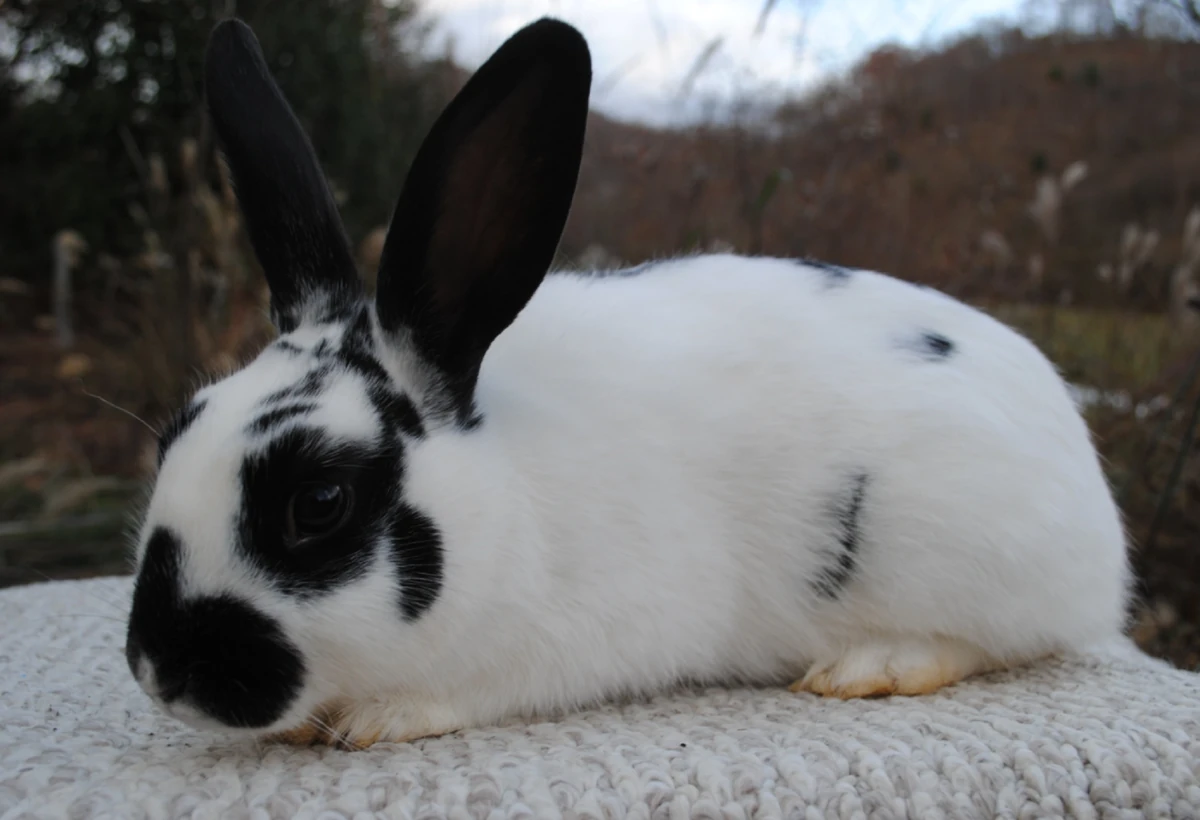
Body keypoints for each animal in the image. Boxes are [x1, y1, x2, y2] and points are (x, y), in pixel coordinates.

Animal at [122, 16, 1131, 750]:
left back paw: (871, 666)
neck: (506, 492)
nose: (156, 668)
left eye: (320, 503)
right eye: (173, 436)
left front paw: (376, 718)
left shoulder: (564, 644)